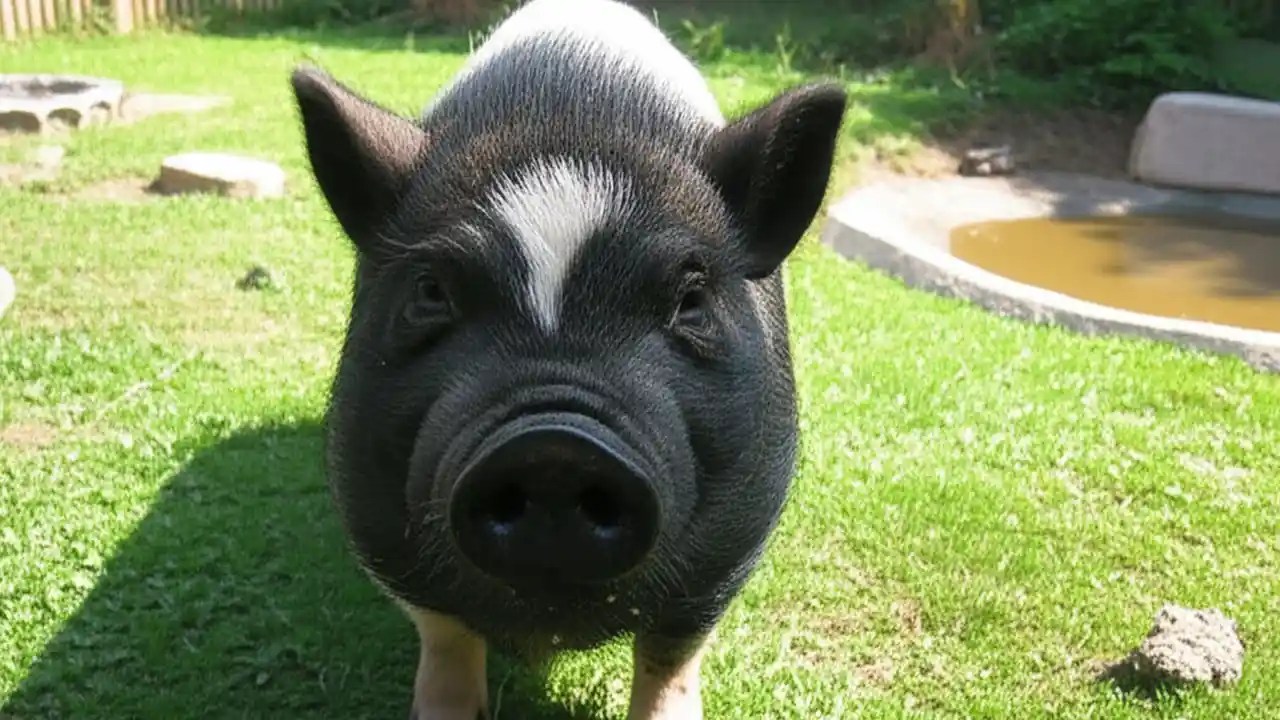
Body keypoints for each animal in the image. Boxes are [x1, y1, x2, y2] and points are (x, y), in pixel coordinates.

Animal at [289, 0, 846, 717]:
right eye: (431, 291)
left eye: (692, 300)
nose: (553, 446)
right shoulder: (373, 510)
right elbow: (445, 636)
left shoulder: (733, 540)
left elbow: (671, 655)